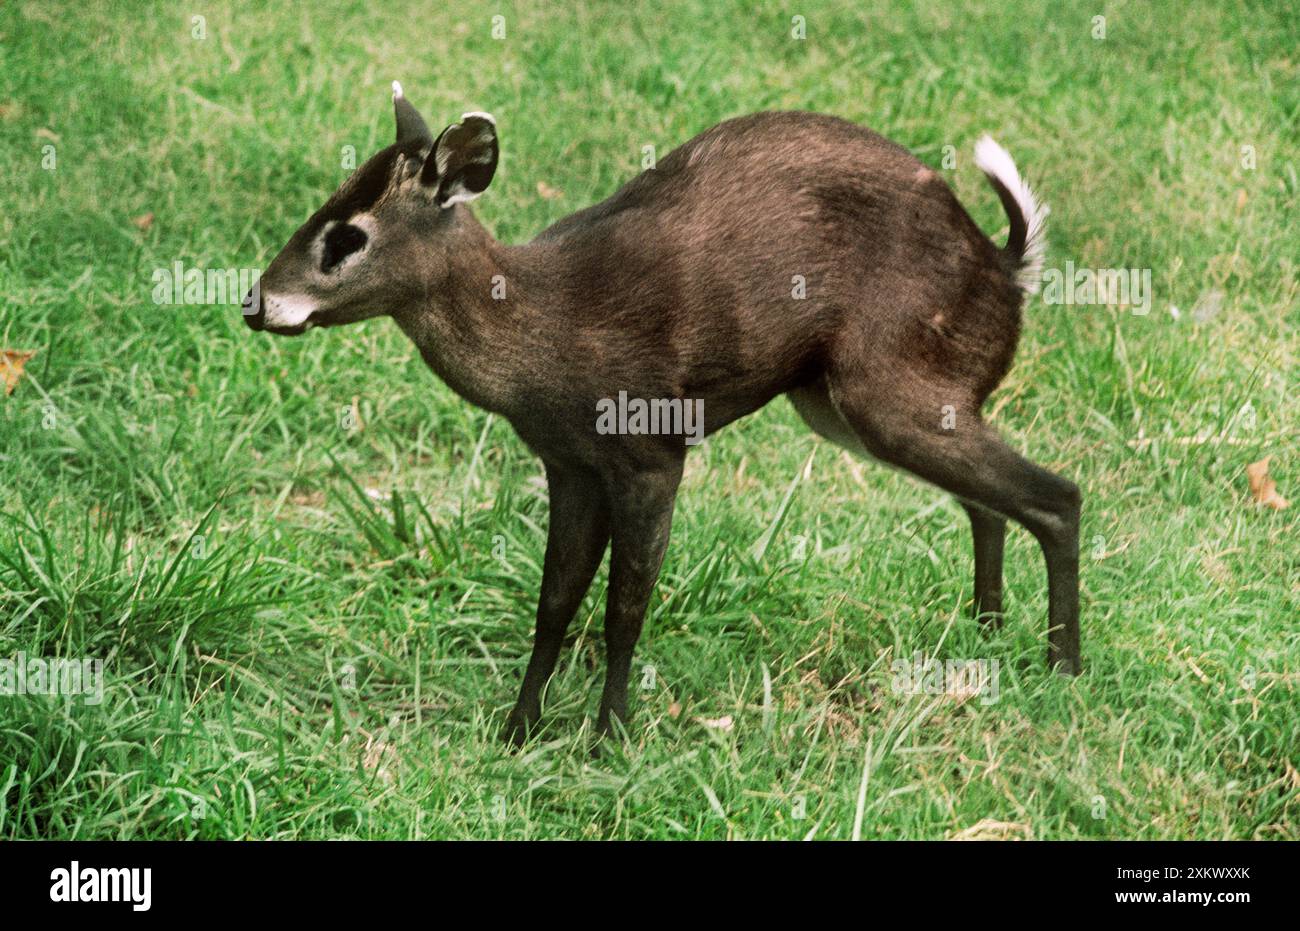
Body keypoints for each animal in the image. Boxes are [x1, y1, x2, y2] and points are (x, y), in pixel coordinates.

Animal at [242, 83, 1081, 746]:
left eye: (348, 235)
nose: (256, 302)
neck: (544, 331)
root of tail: (1007, 267)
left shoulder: (651, 450)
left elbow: (624, 607)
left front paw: (609, 736)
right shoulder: (569, 464)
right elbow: (553, 602)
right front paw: (518, 728)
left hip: (888, 386)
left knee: (1057, 495)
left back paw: (1062, 664)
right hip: (844, 400)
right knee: (990, 502)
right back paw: (985, 632)